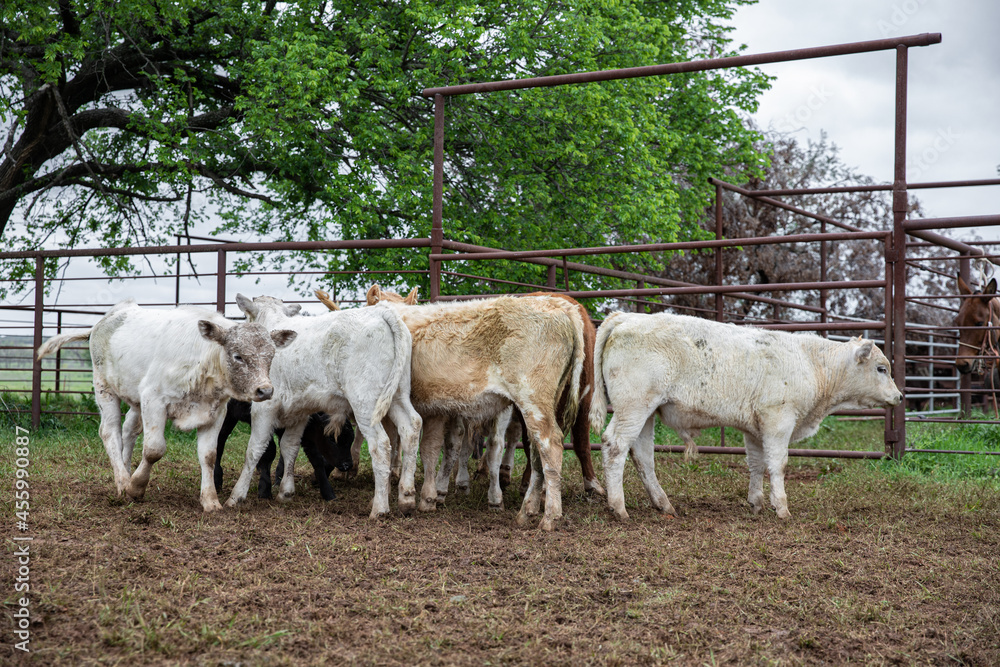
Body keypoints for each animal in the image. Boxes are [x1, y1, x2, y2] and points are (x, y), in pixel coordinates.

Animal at [36, 300, 296, 511]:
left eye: (271, 356)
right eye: (238, 356)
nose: (265, 390)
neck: (202, 359)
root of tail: (107, 318)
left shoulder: (215, 412)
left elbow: (209, 455)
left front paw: (210, 500)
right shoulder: (154, 399)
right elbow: (154, 449)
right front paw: (136, 487)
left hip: (135, 400)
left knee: (128, 431)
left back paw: (126, 470)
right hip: (104, 386)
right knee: (110, 431)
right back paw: (122, 481)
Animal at [213, 399, 355, 500]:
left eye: (351, 439)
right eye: (331, 439)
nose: (347, 465)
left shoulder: (305, 434)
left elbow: (316, 460)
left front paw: (328, 493)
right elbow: (269, 451)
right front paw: (265, 490)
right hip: (227, 415)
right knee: (219, 441)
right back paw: (217, 479)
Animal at [363, 284, 586, 532]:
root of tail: (559, 306)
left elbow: (396, 444)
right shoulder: (434, 407)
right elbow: (430, 449)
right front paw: (428, 498)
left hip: (532, 398)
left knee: (550, 445)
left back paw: (550, 517)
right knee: (538, 453)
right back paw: (527, 511)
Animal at [590, 312, 902, 520]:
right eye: (881, 368)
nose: (899, 397)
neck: (812, 363)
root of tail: (625, 317)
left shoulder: (754, 429)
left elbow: (756, 464)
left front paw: (756, 502)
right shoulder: (779, 421)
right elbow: (778, 464)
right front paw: (782, 507)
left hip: (647, 413)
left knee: (642, 455)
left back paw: (663, 504)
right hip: (633, 407)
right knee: (615, 445)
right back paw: (619, 507)